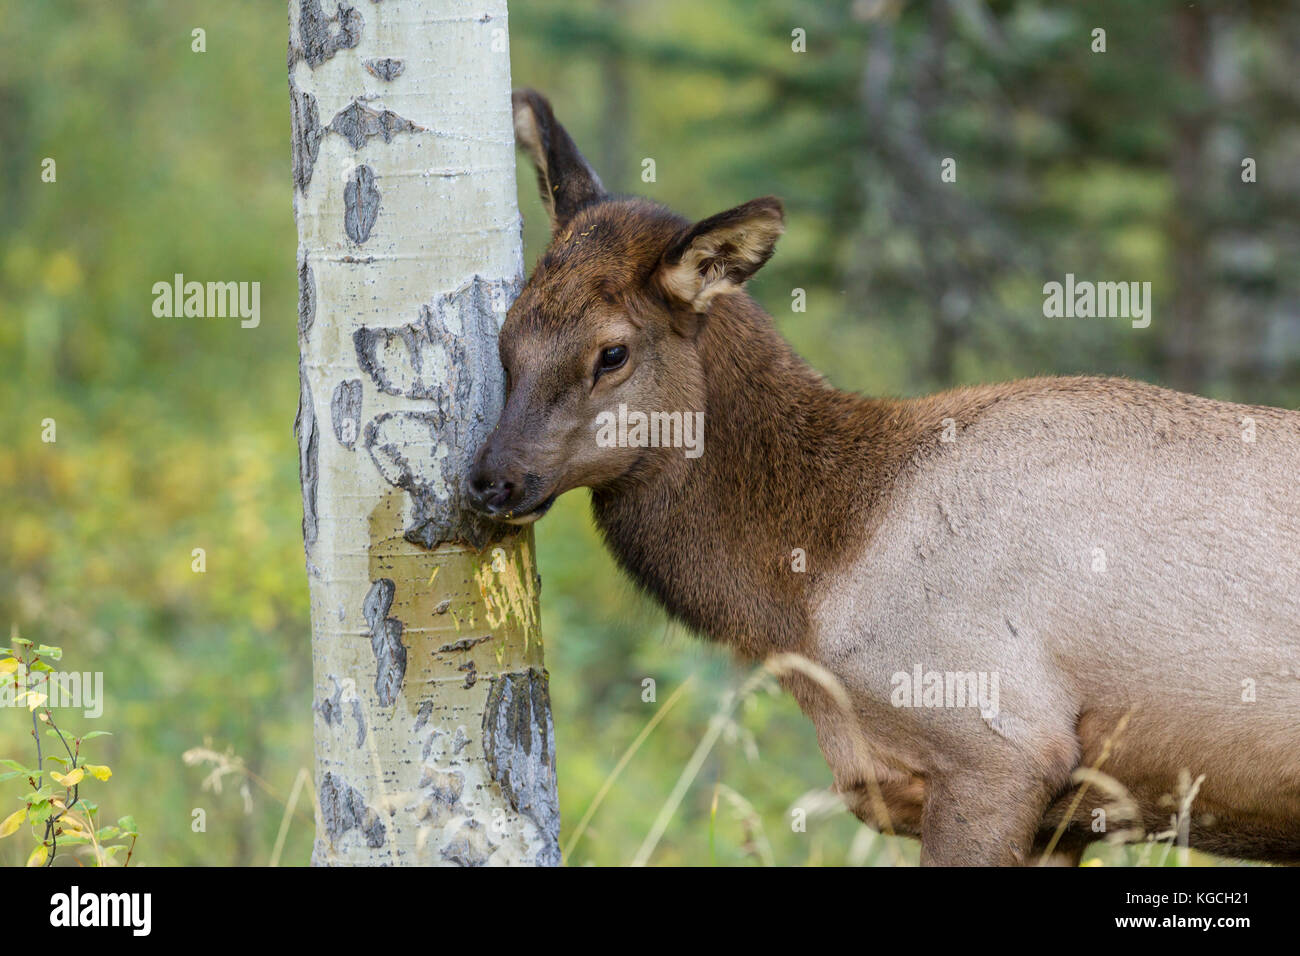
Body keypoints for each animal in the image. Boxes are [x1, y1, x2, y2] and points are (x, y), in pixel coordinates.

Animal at [468, 89, 1300, 866]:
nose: (490, 480)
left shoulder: (1000, 748)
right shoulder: (1065, 816)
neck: (813, 586)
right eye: (506, 336)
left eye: (612, 353)